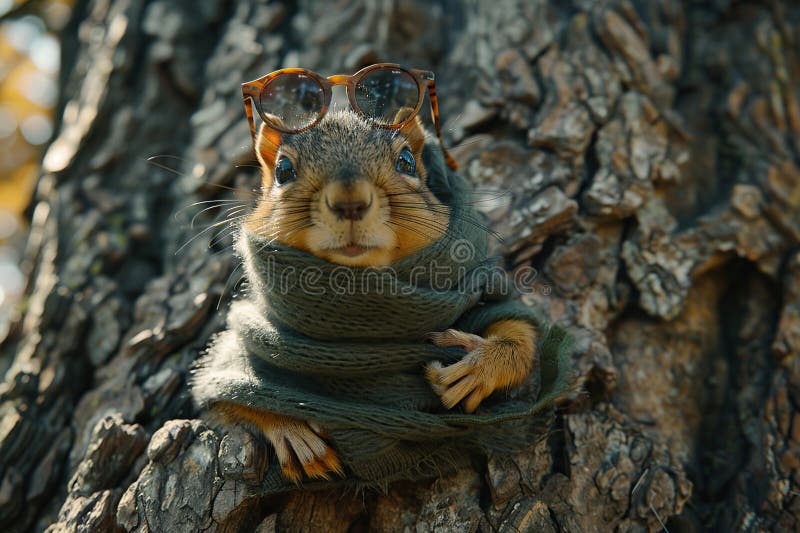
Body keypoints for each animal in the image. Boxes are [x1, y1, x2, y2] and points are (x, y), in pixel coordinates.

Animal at [213, 109, 538, 483]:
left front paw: (483, 366)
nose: (350, 202)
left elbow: (521, 328)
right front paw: (292, 432)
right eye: (283, 170)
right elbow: (226, 396)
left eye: (407, 161)